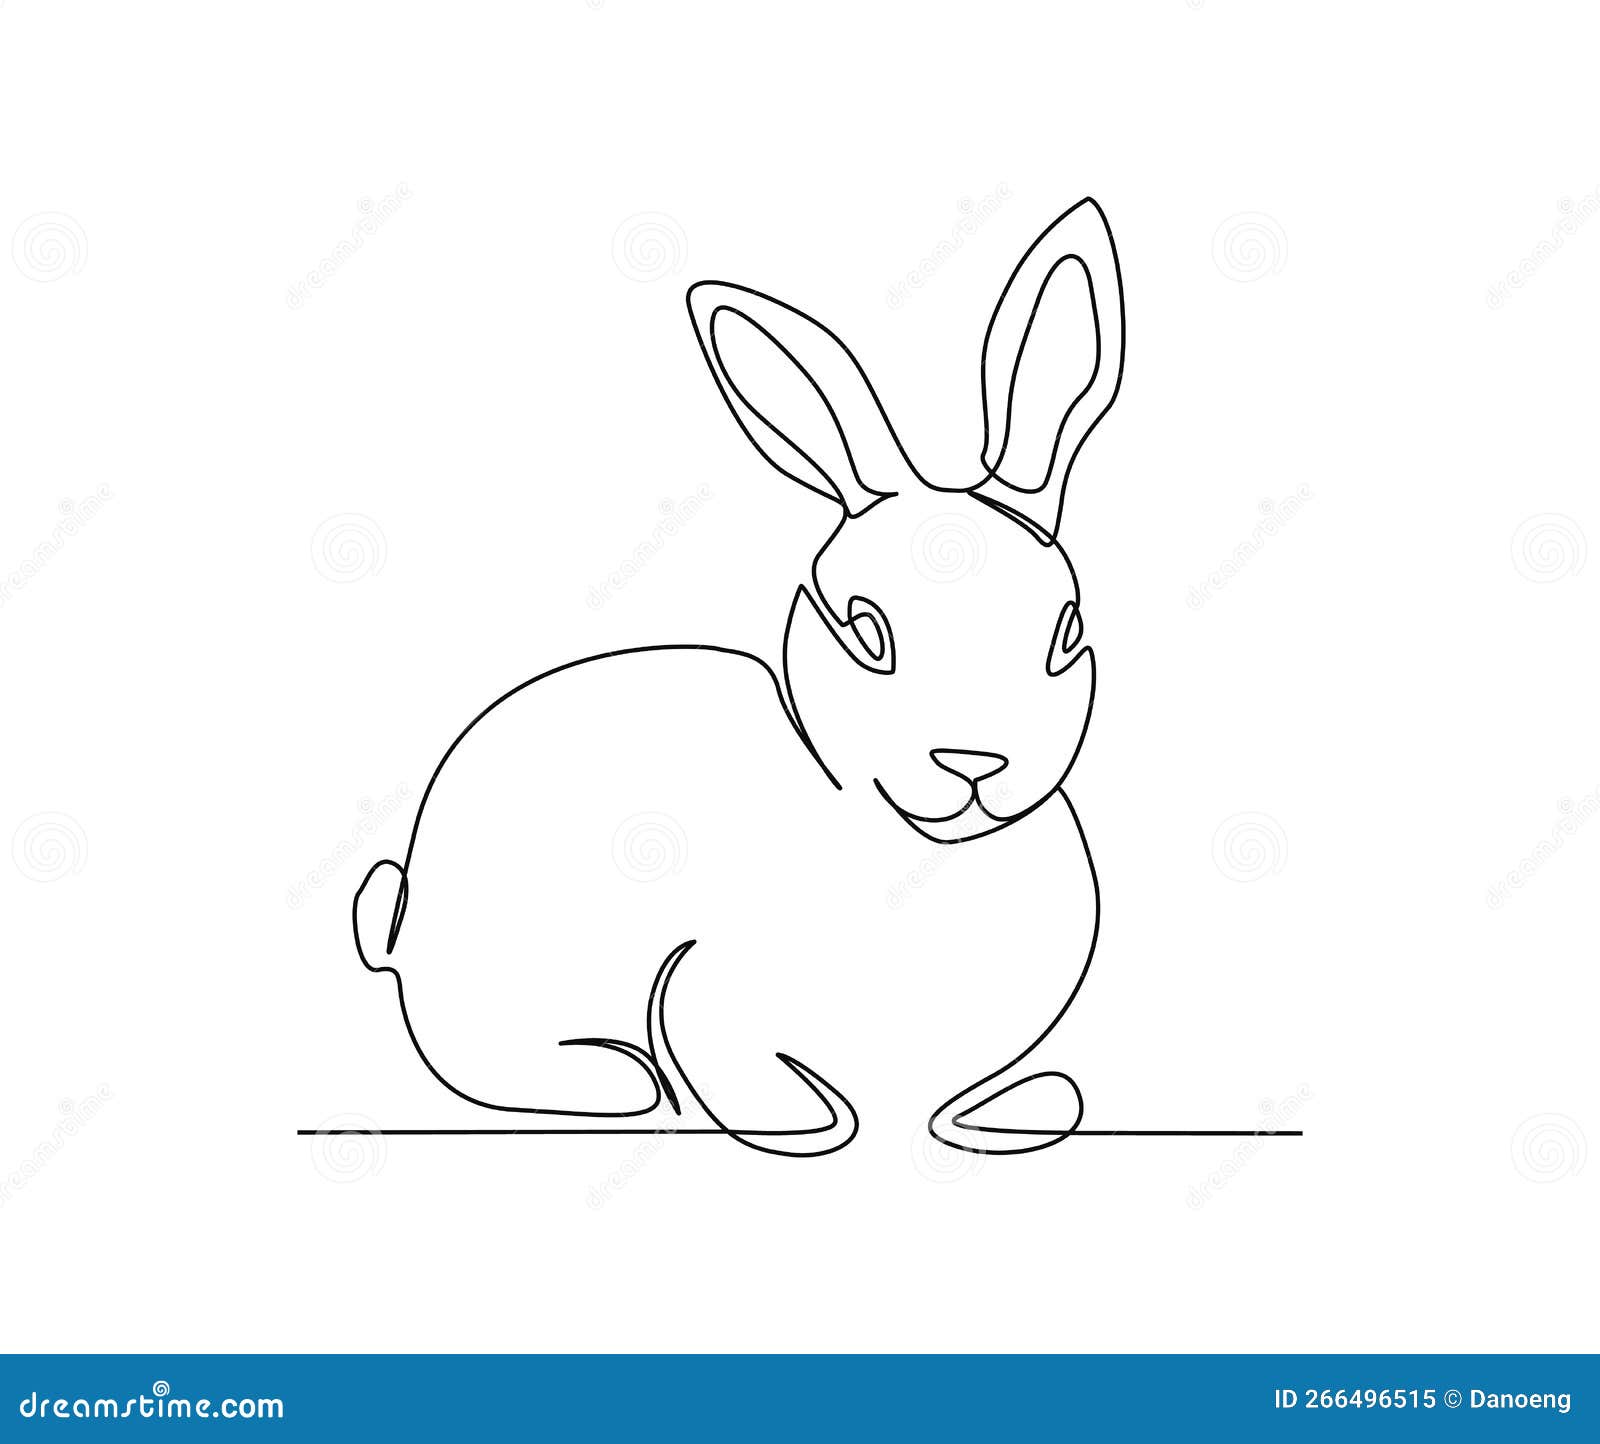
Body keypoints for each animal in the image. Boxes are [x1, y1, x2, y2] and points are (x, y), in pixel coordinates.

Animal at [353, 198, 1125, 1157]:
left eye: (1067, 631)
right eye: (865, 631)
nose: (974, 763)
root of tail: (404, 924)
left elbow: (1031, 1101)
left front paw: (1012, 1116)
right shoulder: (707, 993)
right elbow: (751, 1075)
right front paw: (801, 1126)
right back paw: (620, 1085)